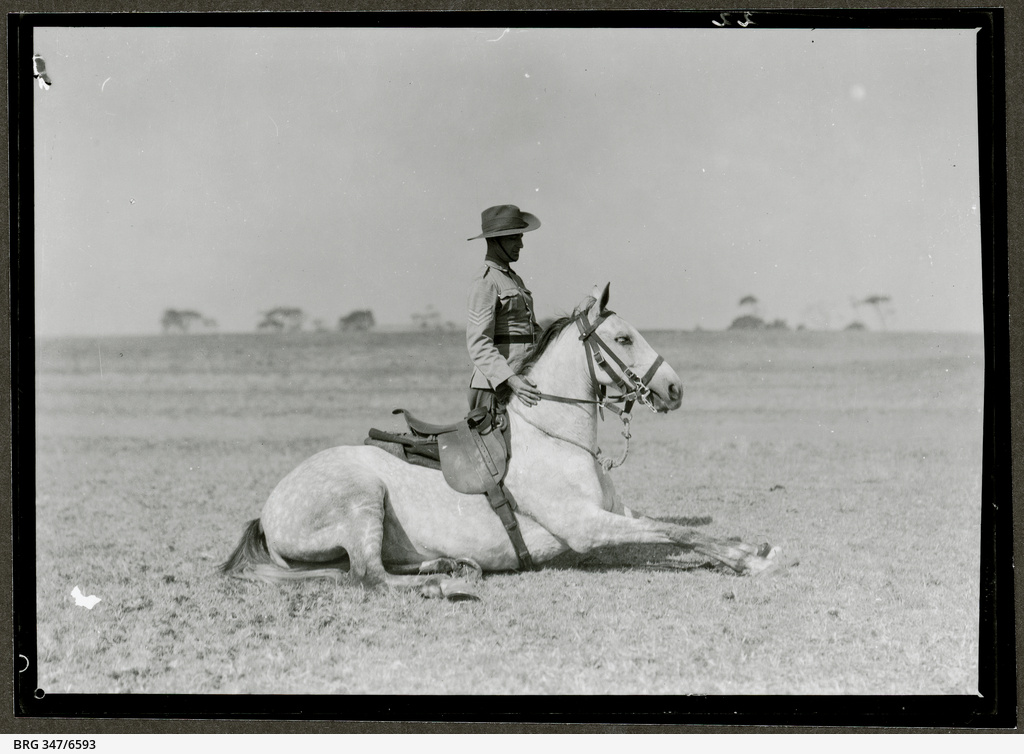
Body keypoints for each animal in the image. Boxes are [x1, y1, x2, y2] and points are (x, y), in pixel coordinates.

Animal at [220, 283, 778, 596]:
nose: (675, 389)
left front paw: (746, 549)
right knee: (368, 577)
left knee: (362, 569)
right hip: (362, 497)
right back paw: (445, 583)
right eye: (623, 339)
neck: (556, 438)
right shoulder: (587, 527)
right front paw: (752, 558)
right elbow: (670, 532)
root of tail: (269, 511)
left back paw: (451, 564)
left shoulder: (616, 515)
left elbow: (671, 531)